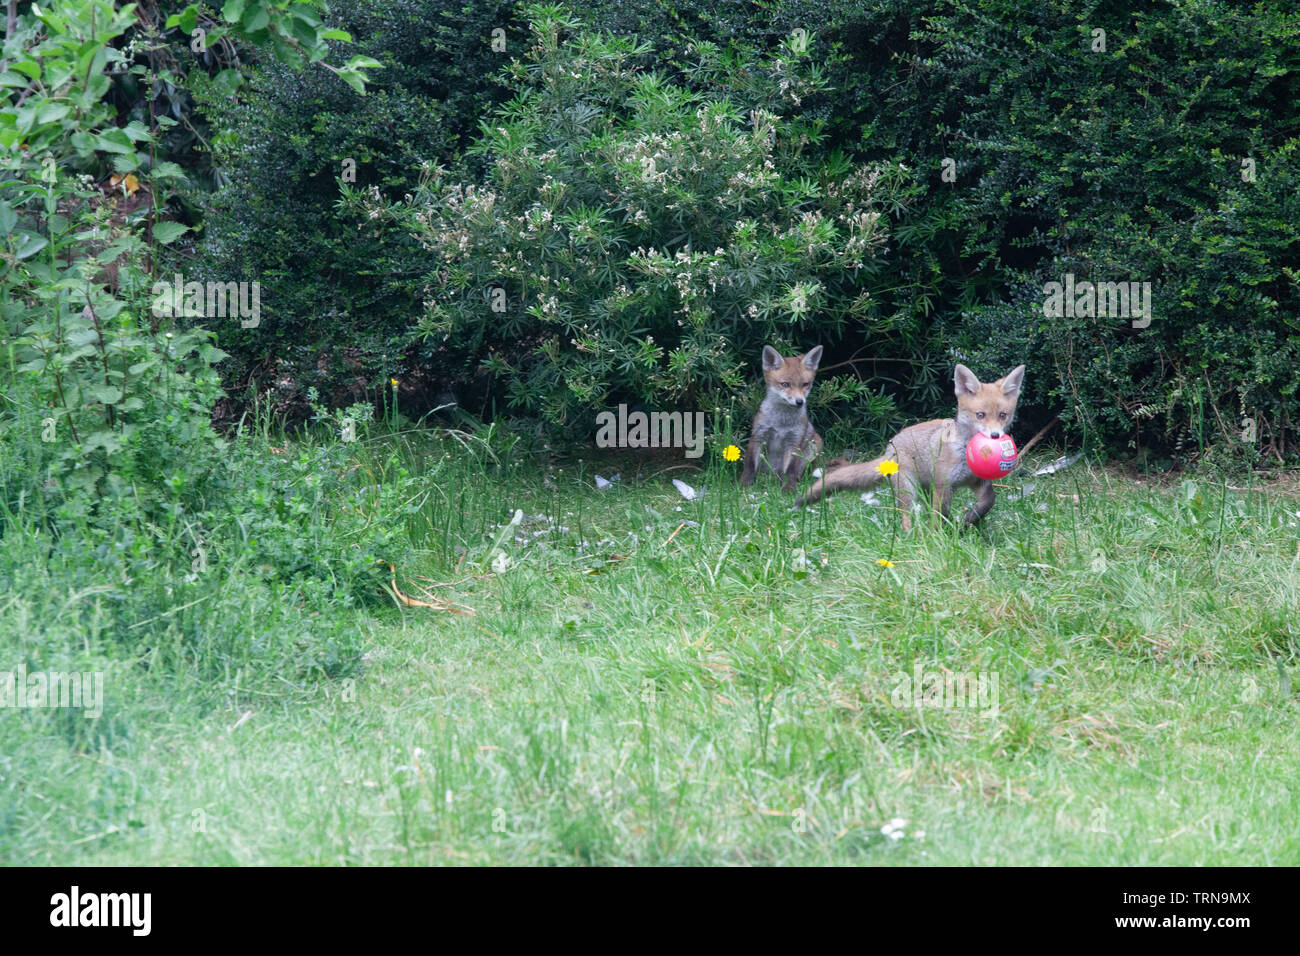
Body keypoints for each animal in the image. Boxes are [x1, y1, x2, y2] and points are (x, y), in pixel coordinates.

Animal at [740, 345, 824, 492]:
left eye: (805, 384)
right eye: (785, 384)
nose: (799, 402)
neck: (781, 423)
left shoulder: (794, 442)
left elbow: (789, 470)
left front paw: (789, 489)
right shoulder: (758, 436)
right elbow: (750, 466)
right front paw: (744, 486)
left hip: (815, 443)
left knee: (795, 474)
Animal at [795, 363, 1026, 529]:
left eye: (1003, 415)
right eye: (980, 415)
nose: (995, 436)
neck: (964, 455)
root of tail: (890, 447)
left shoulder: (976, 481)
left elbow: (989, 501)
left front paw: (971, 518)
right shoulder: (944, 485)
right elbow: (937, 517)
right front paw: (937, 541)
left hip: (924, 489)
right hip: (909, 489)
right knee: (906, 516)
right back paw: (910, 537)